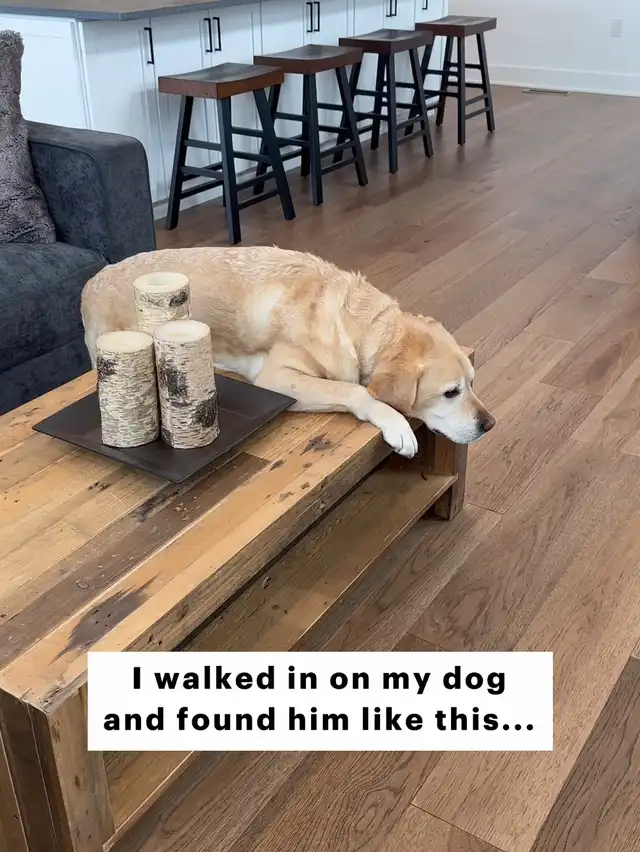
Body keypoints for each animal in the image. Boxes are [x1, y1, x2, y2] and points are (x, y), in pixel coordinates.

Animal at [81, 246, 495, 458]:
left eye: (473, 383)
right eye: (451, 392)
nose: (489, 425)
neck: (360, 324)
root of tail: (92, 281)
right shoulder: (277, 378)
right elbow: (355, 389)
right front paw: (396, 424)